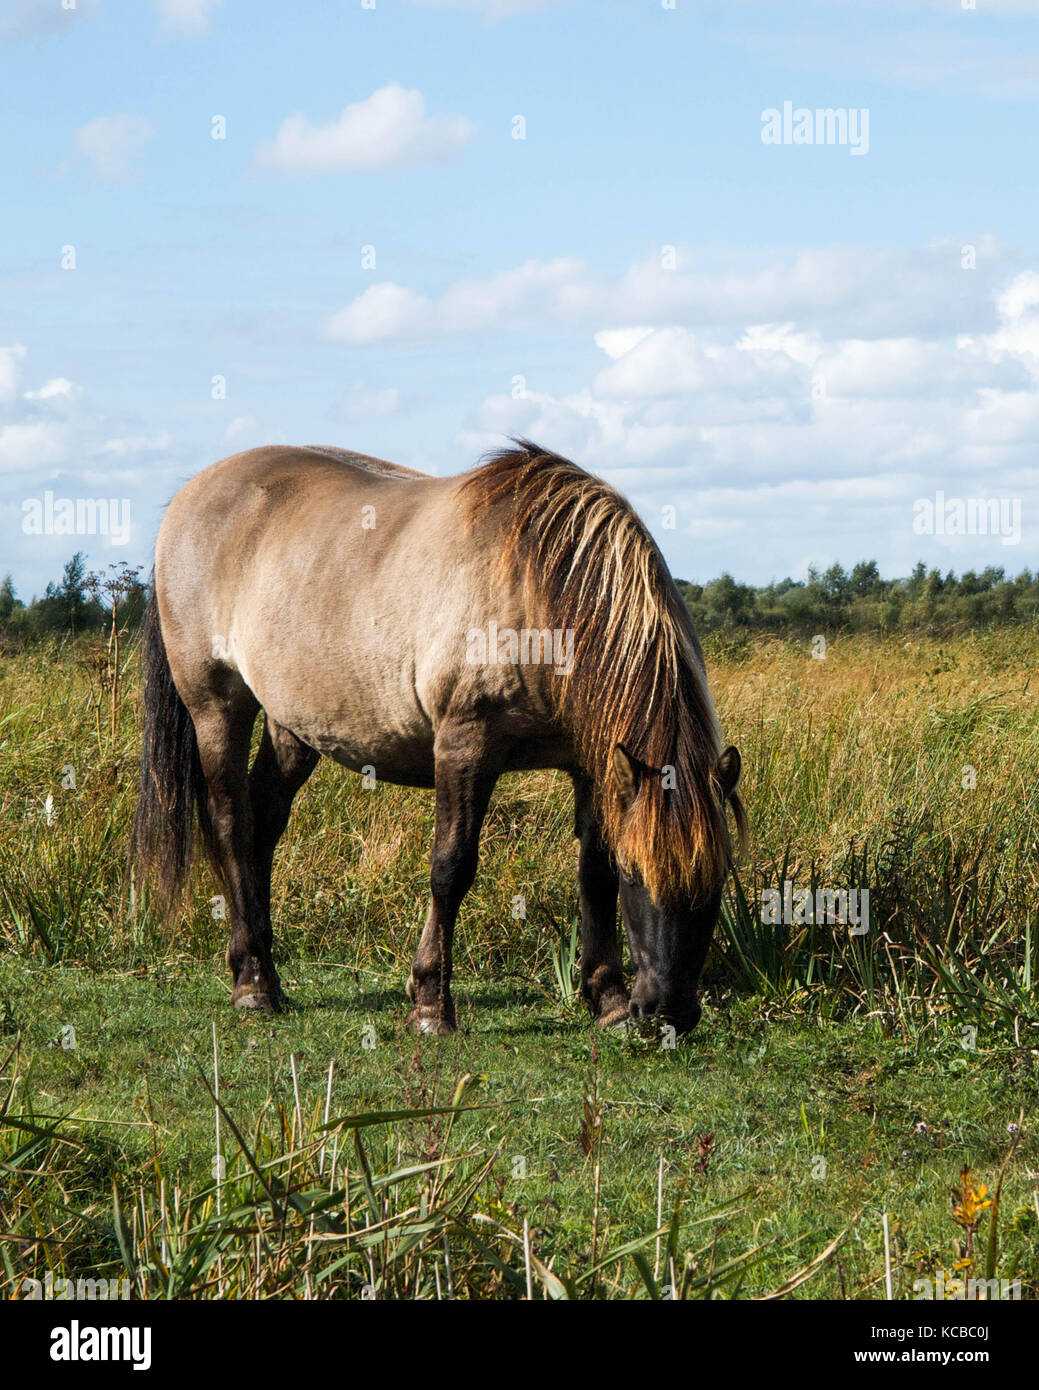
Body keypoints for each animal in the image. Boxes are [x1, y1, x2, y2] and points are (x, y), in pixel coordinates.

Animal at [132, 440, 745, 1035]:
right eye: (637, 875)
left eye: (717, 879)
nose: (668, 1011)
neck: (541, 592)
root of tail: (189, 495)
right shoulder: (464, 746)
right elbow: (451, 868)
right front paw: (430, 1004)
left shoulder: (594, 764)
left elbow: (592, 872)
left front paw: (610, 999)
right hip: (217, 708)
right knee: (232, 825)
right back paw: (253, 985)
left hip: (293, 728)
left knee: (263, 827)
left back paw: (267, 973)